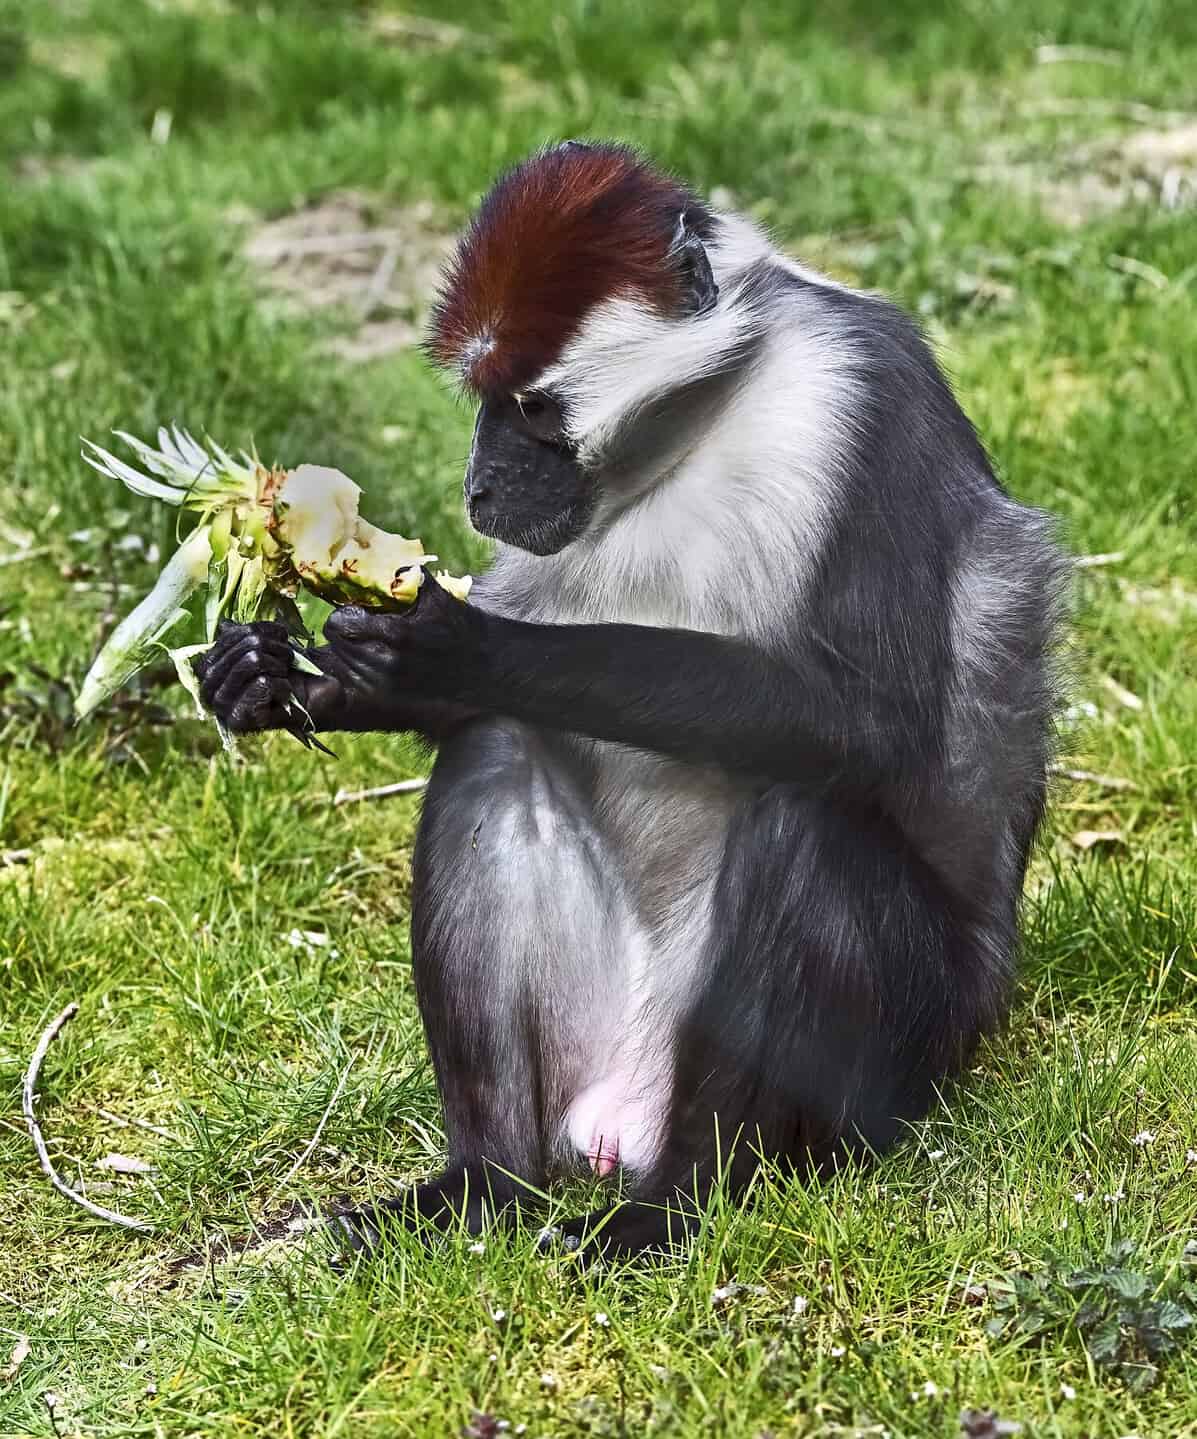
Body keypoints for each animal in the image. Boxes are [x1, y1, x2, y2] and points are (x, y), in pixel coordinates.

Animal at [195, 141, 1064, 1259]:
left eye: (530, 407)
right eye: (482, 399)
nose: (478, 487)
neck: (702, 426)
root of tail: (624, 1114)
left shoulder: (866, 389)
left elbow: (869, 725)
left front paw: (458, 649)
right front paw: (279, 671)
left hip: (906, 1044)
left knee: (804, 814)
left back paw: (676, 1203)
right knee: (495, 758)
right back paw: (483, 1184)